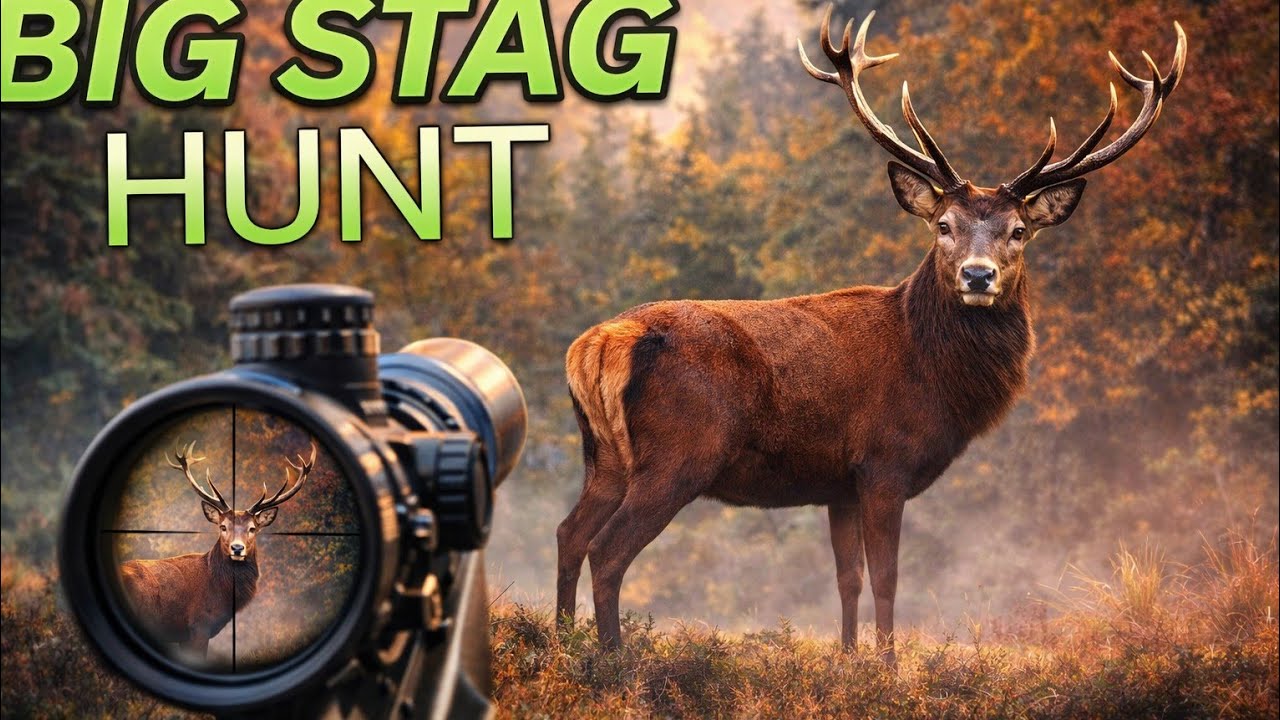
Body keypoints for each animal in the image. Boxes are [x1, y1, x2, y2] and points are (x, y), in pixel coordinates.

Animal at [119, 440, 314, 658]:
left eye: (252, 528)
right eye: (223, 526)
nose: (237, 548)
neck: (221, 592)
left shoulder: (184, 635)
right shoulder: (198, 626)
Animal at [556, 8, 1186, 662]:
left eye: (1018, 230)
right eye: (943, 225)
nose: (978, 275)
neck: (934, 374)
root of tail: (599, 344)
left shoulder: (838, 481)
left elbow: (847, 578)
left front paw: (849, 657)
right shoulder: (886, 461)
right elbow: (886, 575)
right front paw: (886, 663)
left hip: (604, 454)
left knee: (569, 534)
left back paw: (560, 641)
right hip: (679, 454)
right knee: (607, 550)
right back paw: (612, 658)